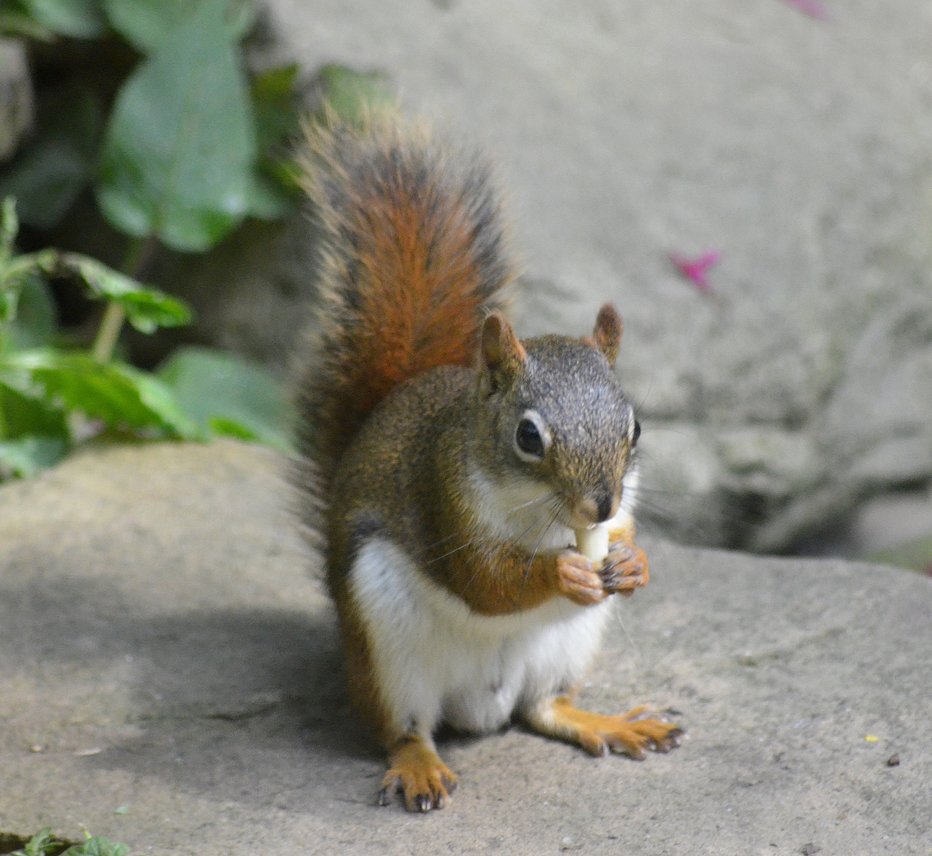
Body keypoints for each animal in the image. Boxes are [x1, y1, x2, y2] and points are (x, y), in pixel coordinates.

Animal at [292, 113, 682, 813]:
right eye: (528, 436)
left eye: (635, 426)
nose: (600, 505)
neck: (540, 516)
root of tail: (480, 708)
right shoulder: (444, 499)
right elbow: (486, 581)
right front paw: (563, 573)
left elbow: (625, 536)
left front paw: (633, 561)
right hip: (387, 645)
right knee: (404, 728)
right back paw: (419, 765)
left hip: (567, 648)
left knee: (544, 709)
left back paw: (609, 722)